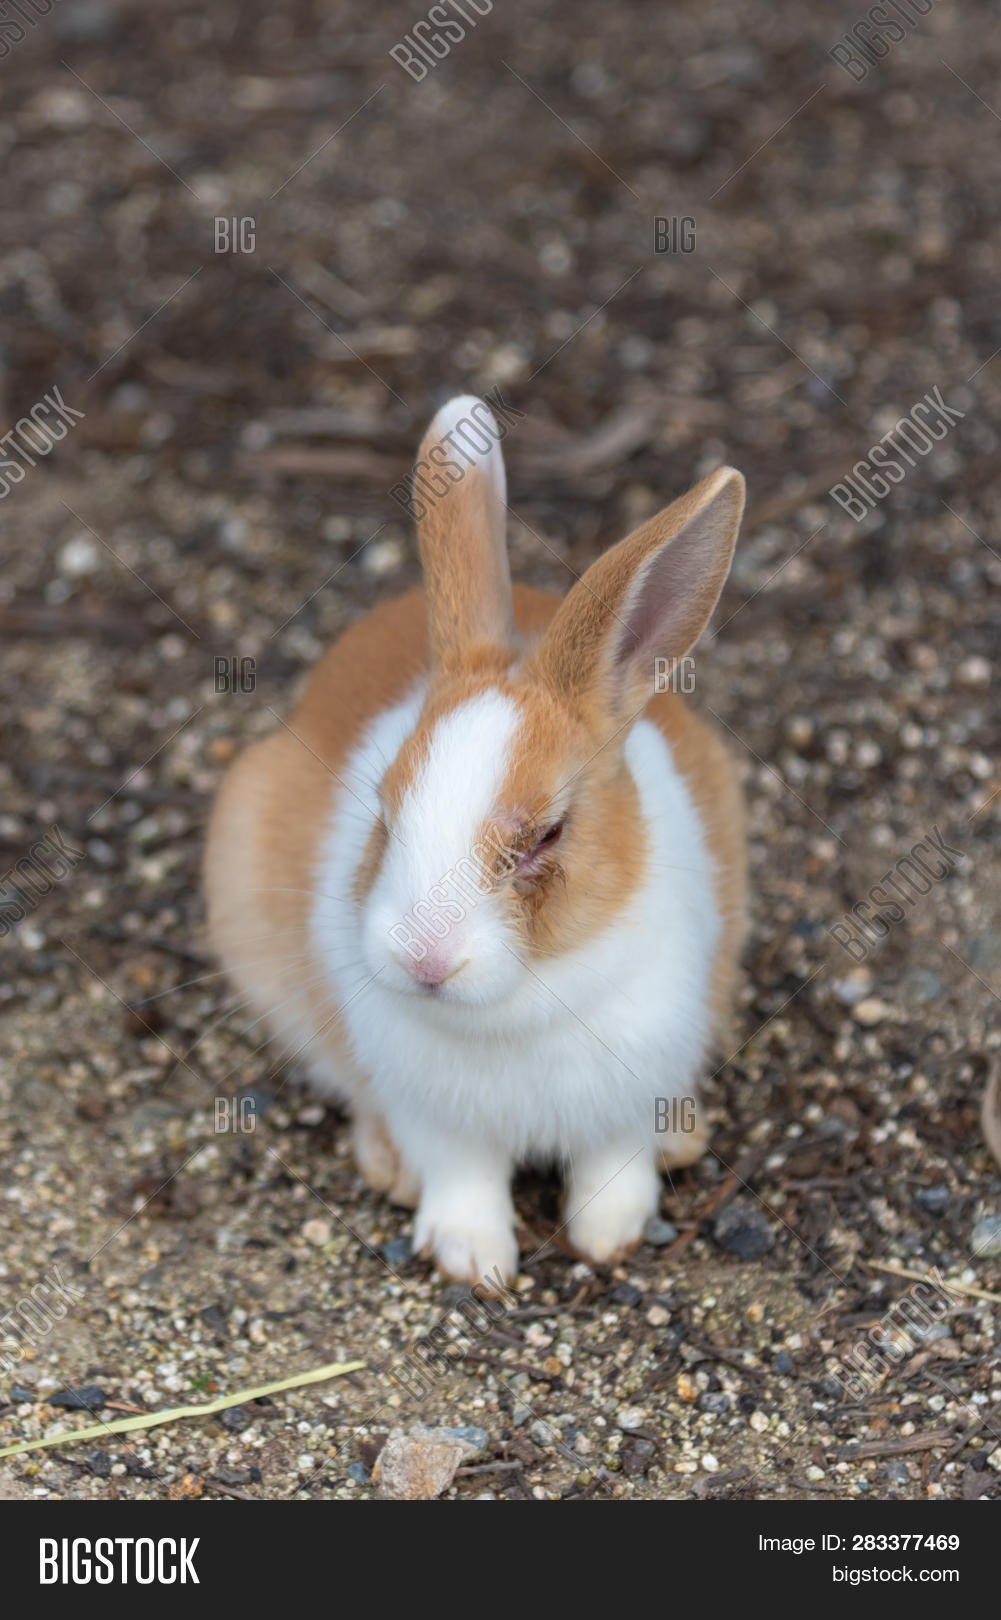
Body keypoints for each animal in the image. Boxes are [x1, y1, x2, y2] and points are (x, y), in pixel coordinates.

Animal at [204, 394, 748, 1287]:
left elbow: (613, 1165)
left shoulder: (632, 1091)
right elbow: (462, 1180)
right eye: (384, 811)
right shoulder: (434, 1116)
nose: (425, 961)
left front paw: (610, 1238)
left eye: (548, 834)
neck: (514, 1010)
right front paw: (475, 1263)